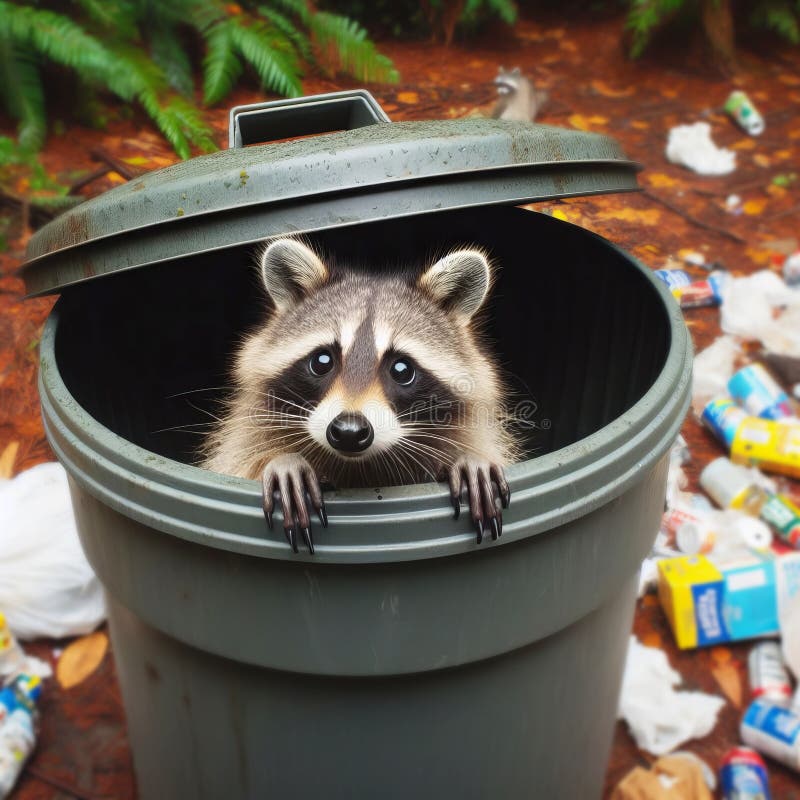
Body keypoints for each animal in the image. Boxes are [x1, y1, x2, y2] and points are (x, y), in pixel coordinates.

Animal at [202, 238, 519, 554]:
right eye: (322, 361)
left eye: (402, 369)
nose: (349, 432)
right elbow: (236, 465)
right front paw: (283, 461)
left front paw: (468, 460)